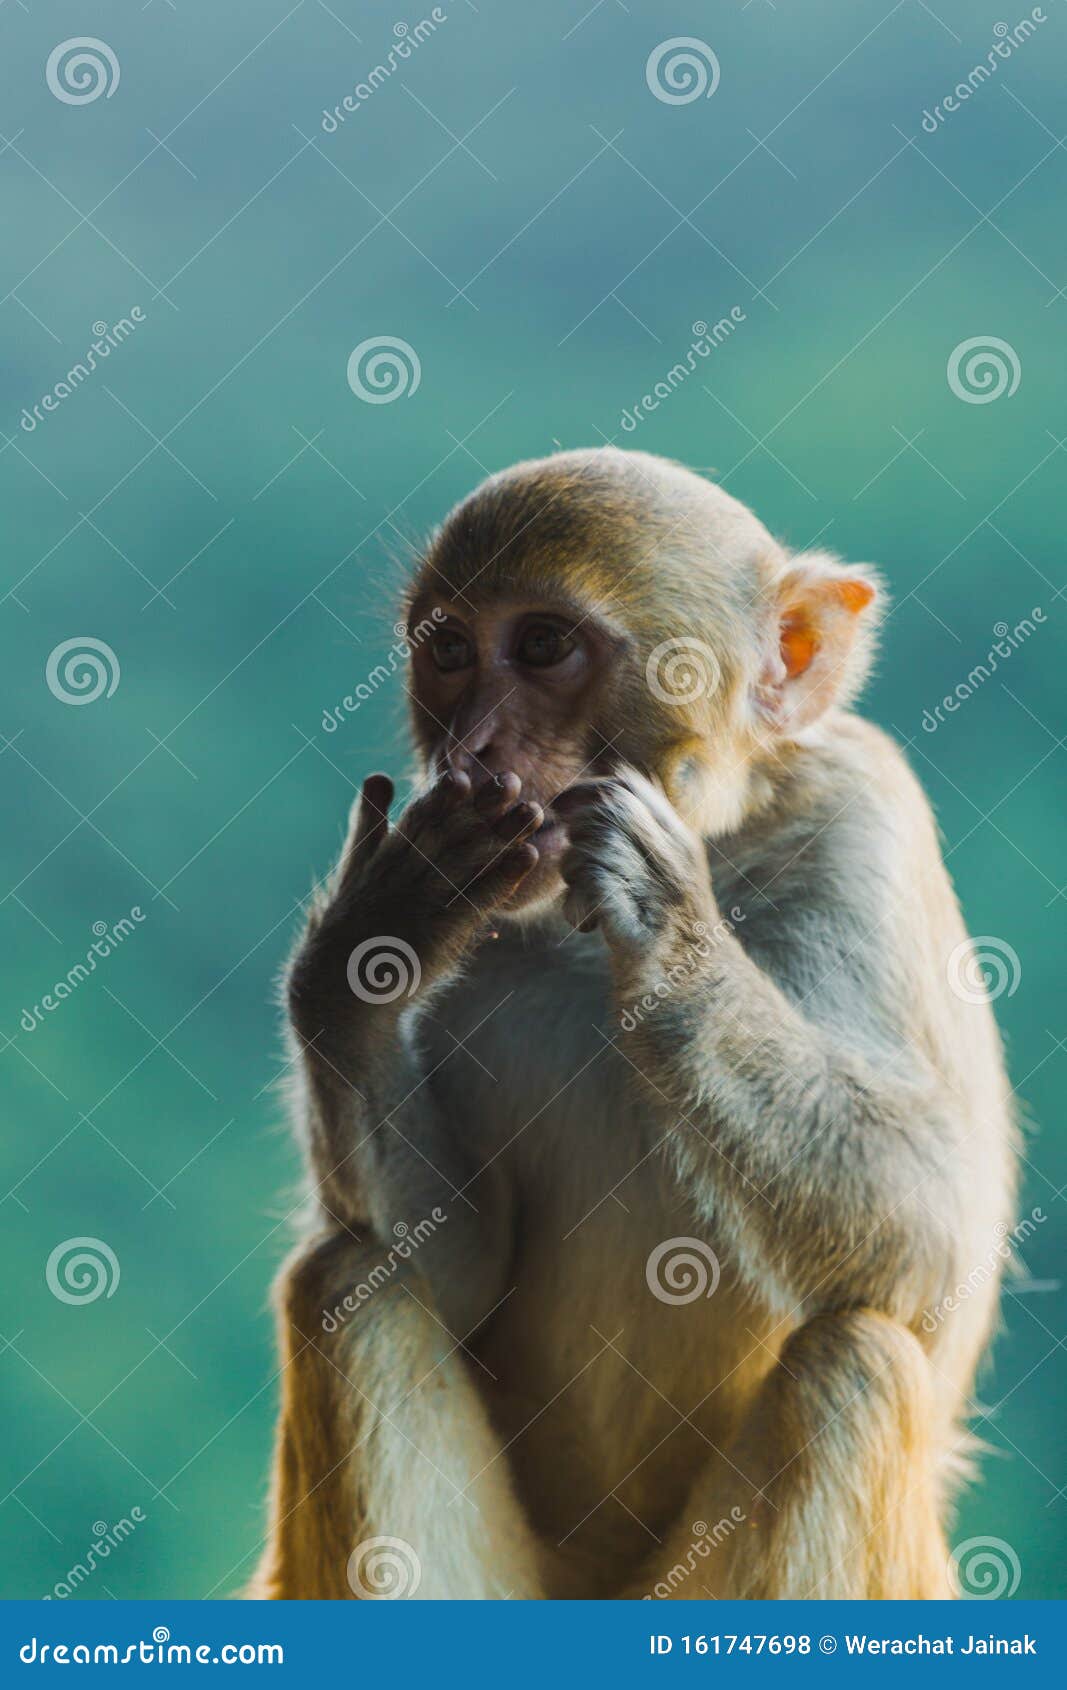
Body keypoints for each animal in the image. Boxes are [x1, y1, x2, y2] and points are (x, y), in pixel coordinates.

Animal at [249, 447, 1017, 1601]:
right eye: (447, 652)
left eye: (541, 644)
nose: (471, 746)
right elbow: (446, 1265)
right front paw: (364, 946)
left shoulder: (862, 820)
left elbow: (932, 1259)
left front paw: (667, 931)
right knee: (346, 1282)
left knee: (855, 1362)